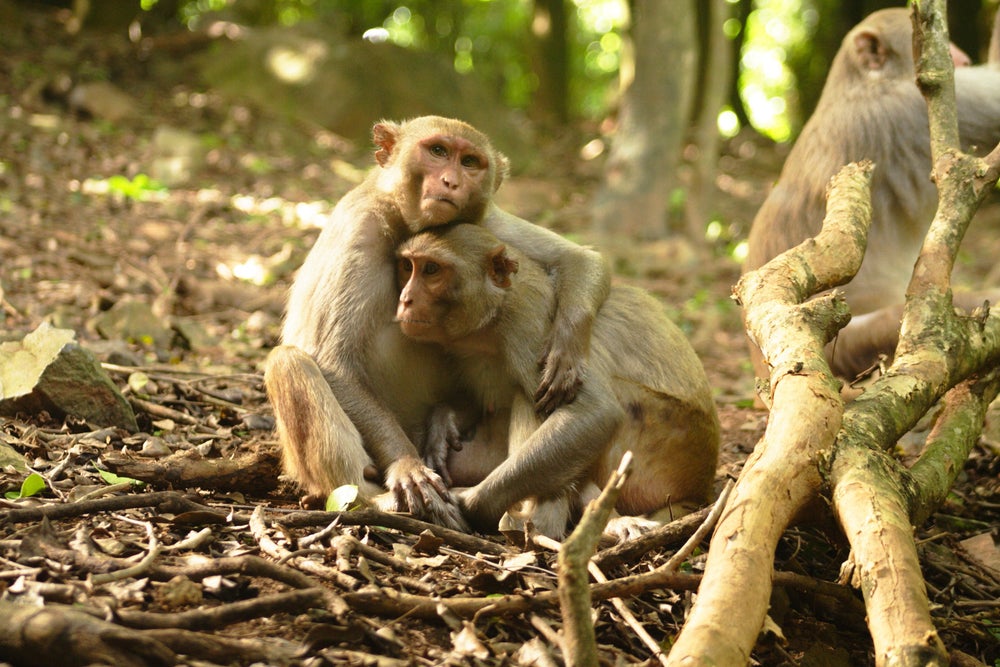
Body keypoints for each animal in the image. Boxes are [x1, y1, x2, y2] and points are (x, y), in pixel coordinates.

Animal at [264, 116, 611, 529]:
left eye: (470, 162)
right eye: (438, 151)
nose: (451, 181)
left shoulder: (485, 221)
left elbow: (580, 259)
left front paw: (565, 352)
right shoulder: (359, 226)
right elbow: (332, 359)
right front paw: (406, 465)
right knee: (289, 362)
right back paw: (373, 500)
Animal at [395, 223, 720, 539]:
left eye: (431, 270)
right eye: (407, 267)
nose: (405, 299)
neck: (491, 317)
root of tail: (700, 487)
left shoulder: (529, 326)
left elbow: (594, 411)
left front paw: (468, 503)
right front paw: (443, 422)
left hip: (665, 441)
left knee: (538, 400)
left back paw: (539, 523)